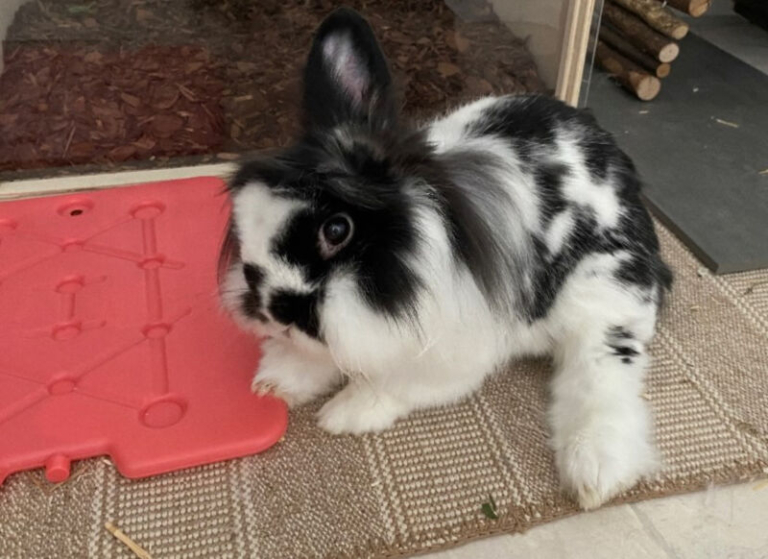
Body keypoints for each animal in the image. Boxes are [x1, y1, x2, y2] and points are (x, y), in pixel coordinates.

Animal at [220, 7, 672, 510]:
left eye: (336, 230)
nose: (275, 311)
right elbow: (325, 351)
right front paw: (276, 379)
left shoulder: (446, 353)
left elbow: (392, 383)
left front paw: (345, 412)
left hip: (606, 290)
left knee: (602, 371)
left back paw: (596, 471)